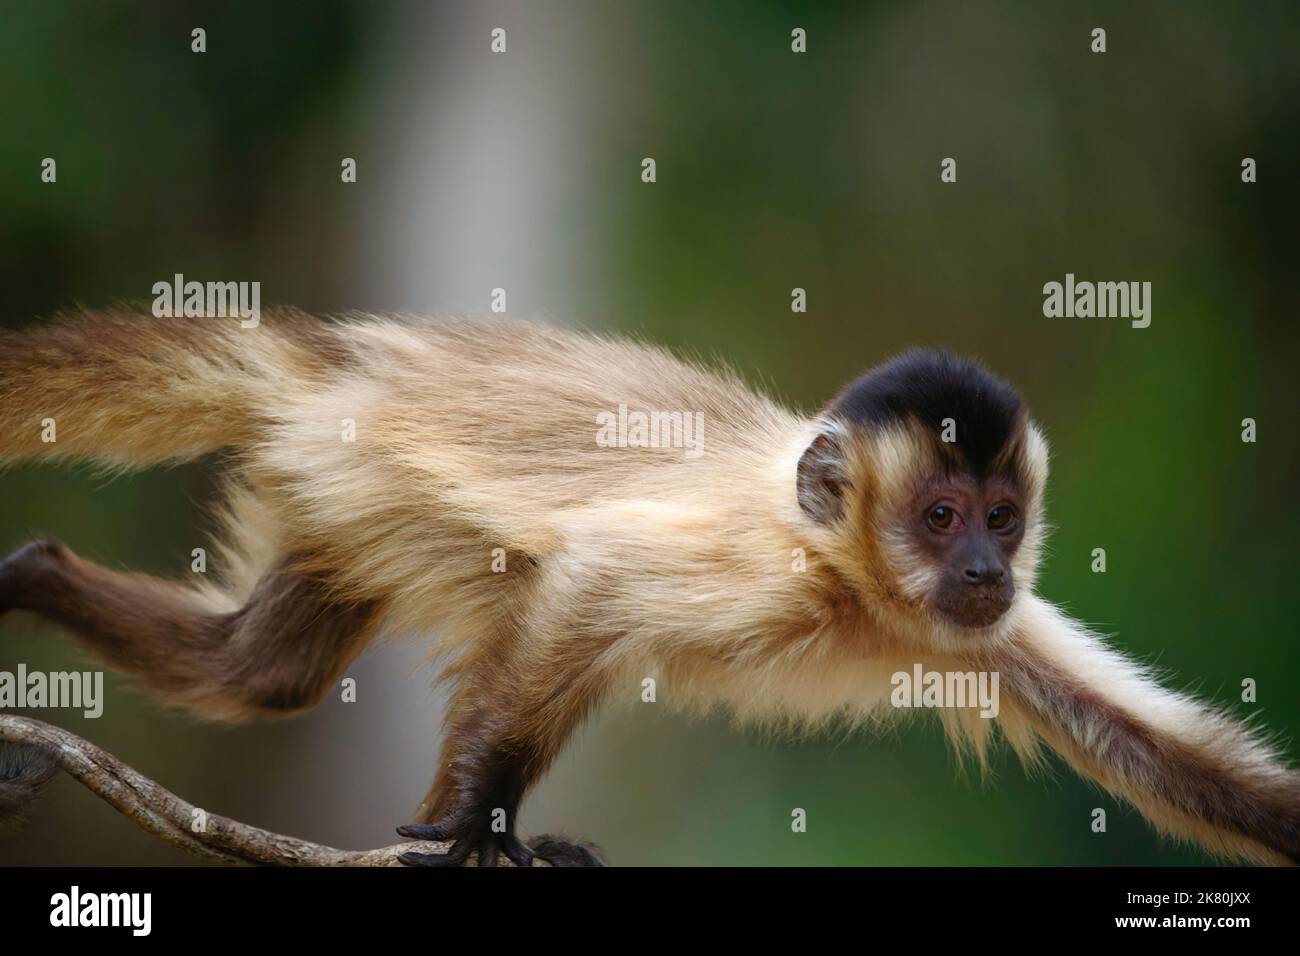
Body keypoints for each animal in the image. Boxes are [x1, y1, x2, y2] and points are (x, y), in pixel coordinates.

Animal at [0, 307, 1296, 866]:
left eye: (1002, 517)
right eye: (939, 516)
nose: (982, 564)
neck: (845, 579)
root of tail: (338, 361)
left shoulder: (988, 628)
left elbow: (1170, 757)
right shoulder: (756, 565)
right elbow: (592, 577)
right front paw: (477, 821)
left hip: (330, 492)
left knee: (262, 670)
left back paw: (30, 573)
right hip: (354, 464)